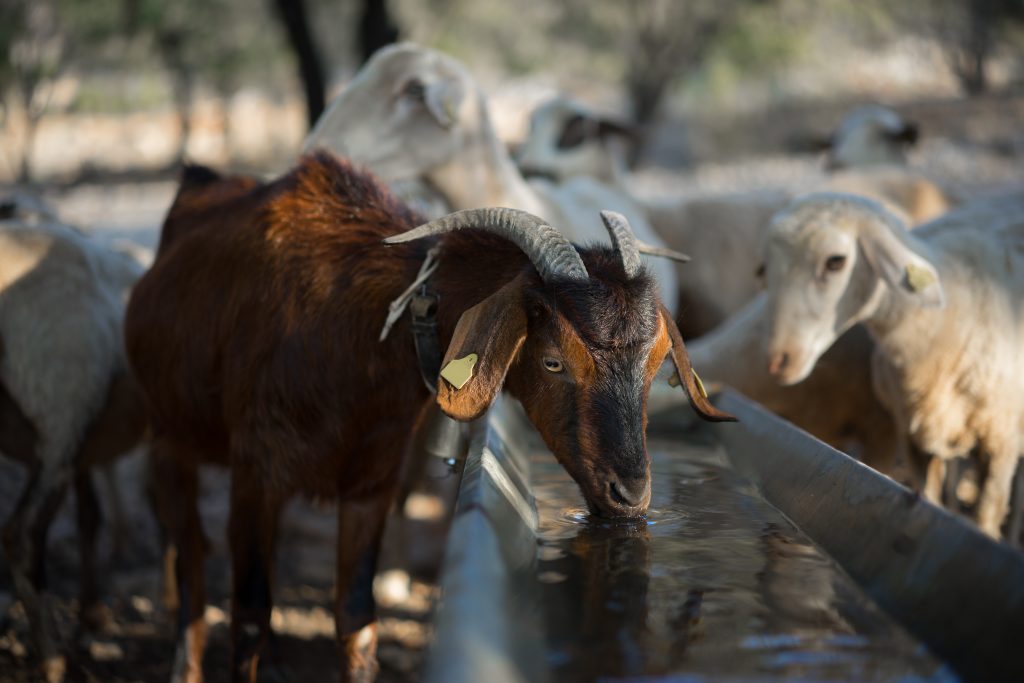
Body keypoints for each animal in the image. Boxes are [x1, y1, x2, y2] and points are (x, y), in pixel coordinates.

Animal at [0, 219, 148, 683]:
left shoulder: (86, 445)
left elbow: (90, 515)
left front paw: (91, 609)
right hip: (61, 411)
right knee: (22, 534)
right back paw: (51, 659)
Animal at [124, 152, 732, 682]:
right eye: (554, 360)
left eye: (656, 361)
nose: (631, 495)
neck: (364, 330)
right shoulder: (255, 473)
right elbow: (248, 612)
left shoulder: (371, 482)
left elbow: (356, 619)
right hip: (167, 438)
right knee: (191, 561)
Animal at [761, 192, 1024, 539]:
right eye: (764, 269)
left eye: (835, 261)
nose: (777, 361)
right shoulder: (913, 435)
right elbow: (930, 499)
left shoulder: (1001, 440)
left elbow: (986, 514)